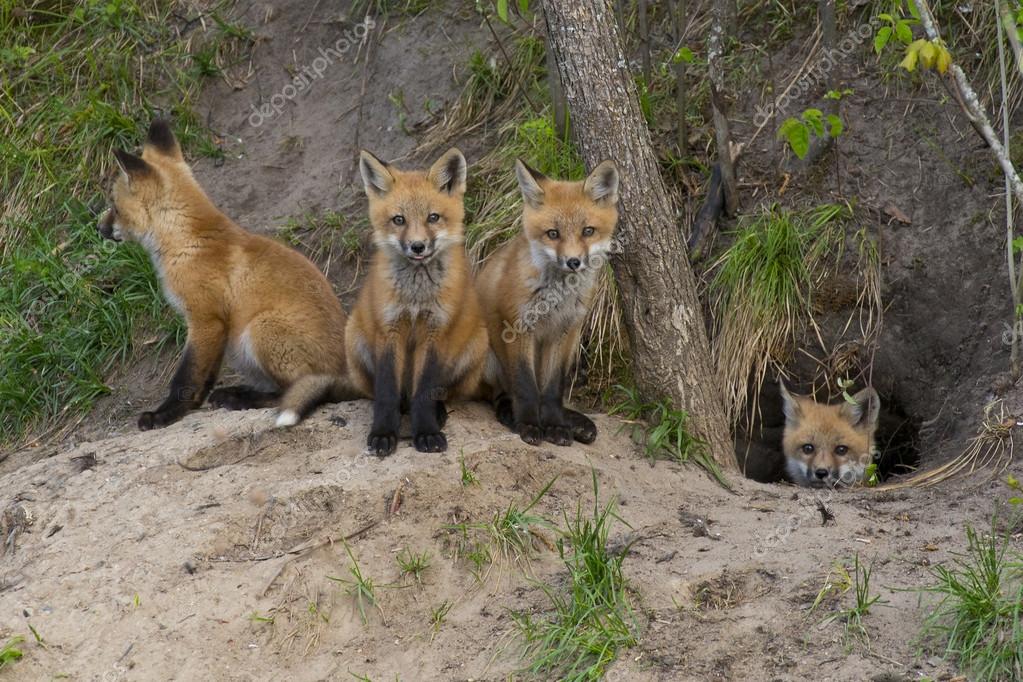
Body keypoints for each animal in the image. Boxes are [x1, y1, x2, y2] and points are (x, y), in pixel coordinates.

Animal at [98, 118, 352, 431]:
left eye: (114, 206)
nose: (99, 228)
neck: (187, 242)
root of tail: (350, 375)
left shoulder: (205, 319)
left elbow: (186, 377)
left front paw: (165, 414)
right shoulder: (215, 328)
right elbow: (204, 377)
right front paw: (191, 407)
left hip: (260, 328)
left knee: (296, 391)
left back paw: (241, 398)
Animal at [346, 148, 488, 456]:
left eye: (433, 217)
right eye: (399, 220)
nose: (418, 246)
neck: (415, 297)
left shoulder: (437, 332)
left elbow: (425, 392)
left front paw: (427, 433)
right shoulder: (388, 330)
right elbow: (386, 392)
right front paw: (383, 434)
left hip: (476, 346)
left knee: (439, 394)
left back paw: (438, 412)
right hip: (354, 339)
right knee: (390, 395)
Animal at [476, 159, 619, 446]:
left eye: (588, 231)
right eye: (553, 233)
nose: (574, 262)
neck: (556, 299)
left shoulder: (564, 331)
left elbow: (553, 389)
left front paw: (555, 425)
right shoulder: (518, 327)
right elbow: (525, 387)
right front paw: (530, 424)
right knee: (499, 394)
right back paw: (510, 414)